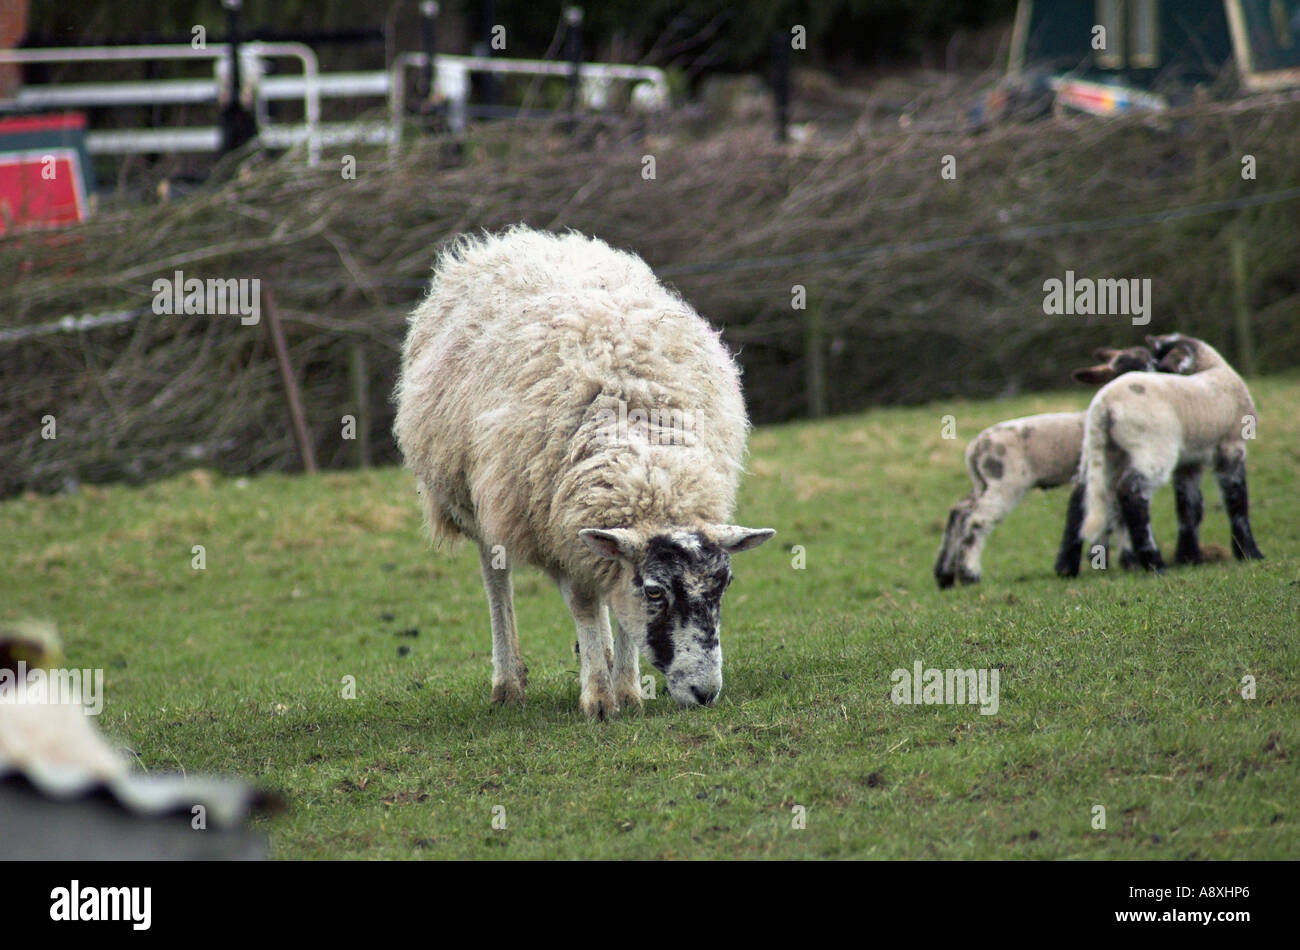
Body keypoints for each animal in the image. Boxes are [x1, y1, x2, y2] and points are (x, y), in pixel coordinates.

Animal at [393, 226, 774, 720]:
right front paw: (599, 699)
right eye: (656, 593)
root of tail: (521, 238)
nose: (706, 693)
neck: (644, 462)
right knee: (497, 580)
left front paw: (626, 689)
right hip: (481, 504)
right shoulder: (557, 524)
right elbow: (584, 604)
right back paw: (508, 682)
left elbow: (617, 607)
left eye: (724, 585)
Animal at [934, 344, 1196, 588]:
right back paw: (969, 575)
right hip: (1005, 483)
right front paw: (1124, 560)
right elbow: (1116, 516)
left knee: (960, 511)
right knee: (976, 520)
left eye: (1152, 364)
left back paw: (945, 574)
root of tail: (975, 449)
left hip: (983, 483)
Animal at [1076, 332, 1264, 573]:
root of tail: (1104, 405)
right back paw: (1154, 562)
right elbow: (1237, 502)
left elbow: (1190, 507)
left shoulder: (1188, 464)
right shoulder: (1232, 448)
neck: (1212, 365)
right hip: (1153, 449)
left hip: (1106, 454)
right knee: (1131, 492)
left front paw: (1188, 556)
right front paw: (1249, 552)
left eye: (1156, 363)